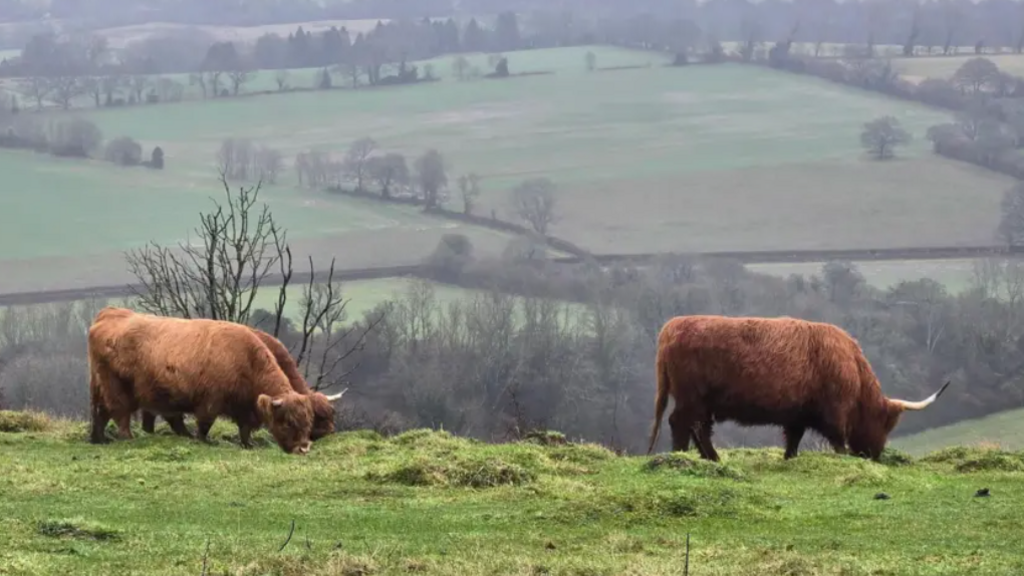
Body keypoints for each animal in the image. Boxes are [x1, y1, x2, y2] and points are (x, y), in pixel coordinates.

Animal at [88, 307, 316, 455]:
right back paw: (127, 438)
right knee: (120, 414)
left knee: (101, 414)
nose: (303, 448)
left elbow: (244, 429)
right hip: (116, 389)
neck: (246, 360)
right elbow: (205, 425)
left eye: (308, 420)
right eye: (288, 422)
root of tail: (109, 314)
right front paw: (203, 441)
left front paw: (248, 444)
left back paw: (99, 440)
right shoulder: (210, 402)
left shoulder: (243, 407)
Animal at [646, 315, 950, 462]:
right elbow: (837, 439)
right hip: (691, 397)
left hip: (701, 402)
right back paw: (684, 456)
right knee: (681, 423)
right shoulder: (834, 411)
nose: (873, 455)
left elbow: (793, 440)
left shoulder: (797, 414)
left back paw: (710, 458)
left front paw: (789, 458)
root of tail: (671, 327)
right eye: (885, 424)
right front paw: (844, 459)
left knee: (698, 427)